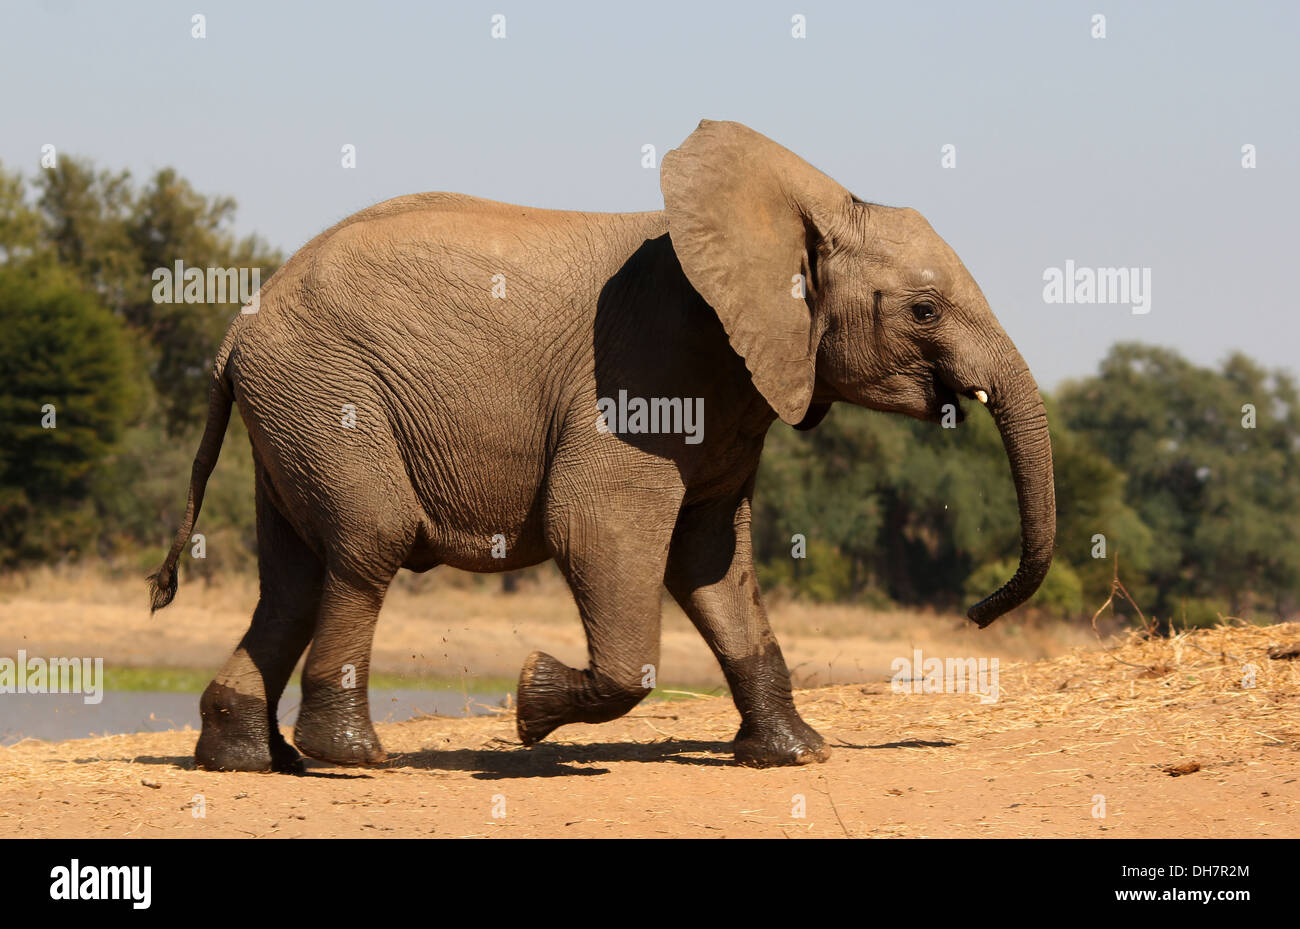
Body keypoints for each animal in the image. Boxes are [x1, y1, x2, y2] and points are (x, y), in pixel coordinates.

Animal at [149, 119, 1055, 772]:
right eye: (926, 311)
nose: (975, 612)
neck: (788, 219)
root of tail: (236, 329)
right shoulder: (641, 376)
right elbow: (596, 527)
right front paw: (528, 702)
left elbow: (710, 559)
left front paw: (797, 756)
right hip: (328, 395)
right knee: (369, 541)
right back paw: (353, 757)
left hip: (294, 411)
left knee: (295, 577)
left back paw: (247, 758)